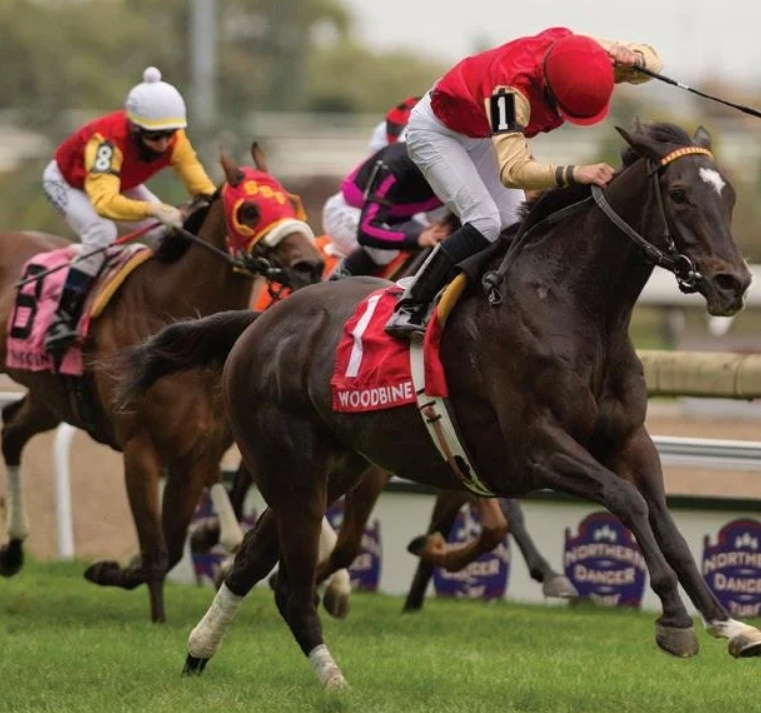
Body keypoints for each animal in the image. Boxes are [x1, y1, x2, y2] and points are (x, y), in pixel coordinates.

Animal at [0, 143, 324, 623]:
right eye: (248, 210)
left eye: (291, 201)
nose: (311, 265)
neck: (167, 305)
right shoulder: (140, 450)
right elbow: (155, 550)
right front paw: (148, 607)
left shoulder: (195, 455)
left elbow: (170, 549)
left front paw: (114, 571)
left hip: (49, 399)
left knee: (12, 436)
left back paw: (13, 550)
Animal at [118, 120, 761, 686]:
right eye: (679, 194)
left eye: (728, 196)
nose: (733, 283)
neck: (572, 306)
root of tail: (260, 320)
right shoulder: (538, 446)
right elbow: (626, 502)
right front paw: (675, 622)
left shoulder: (630, 440)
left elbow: (666, 524)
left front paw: (729, 624)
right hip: (291, 466)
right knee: (288, 586)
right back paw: (332, 678)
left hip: (336, 467)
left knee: (253, 562)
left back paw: (198, 653)